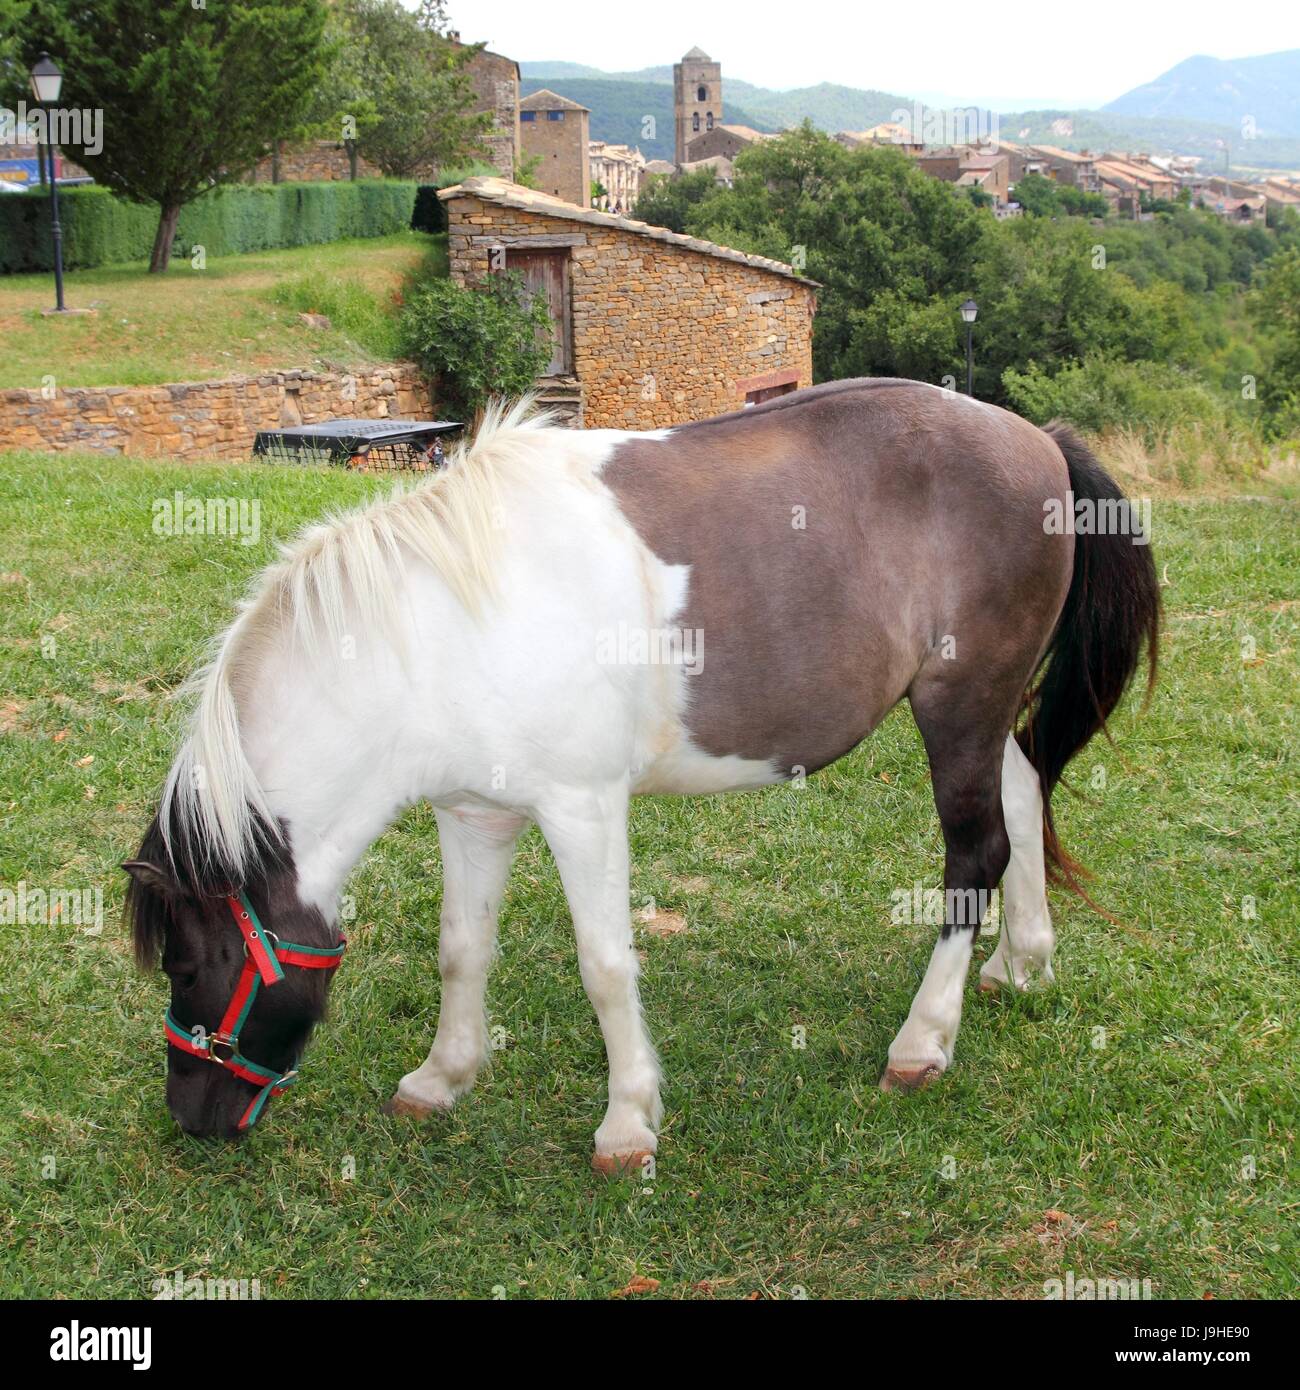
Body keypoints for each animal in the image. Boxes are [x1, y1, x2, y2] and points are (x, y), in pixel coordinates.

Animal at [124, 379, 1159, 1171]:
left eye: (187, 963)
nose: (189, 1116)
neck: (445, 623)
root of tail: (1040, 440)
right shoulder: (474, 813)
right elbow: (462, 948)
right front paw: (443, 1077)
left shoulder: (582, 809)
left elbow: (605, 964)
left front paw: (627, 1122)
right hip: (981, 710)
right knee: (1022, 791)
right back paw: (1022, 961)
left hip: (958, 702)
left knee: (975, 853)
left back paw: (924, 1038)